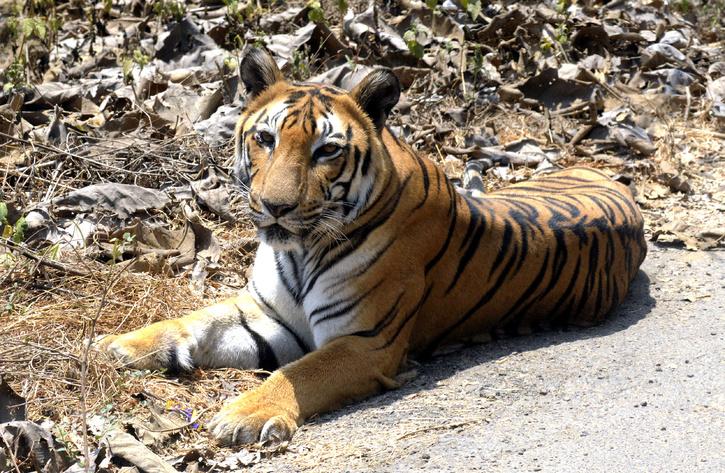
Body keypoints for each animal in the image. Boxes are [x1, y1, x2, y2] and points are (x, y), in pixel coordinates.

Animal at [100, 47, 647, 446]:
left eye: (327, 150)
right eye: (266, 139)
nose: (274, 206)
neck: (300, 250)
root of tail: (609, 176)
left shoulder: (365, 341)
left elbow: (302, 373)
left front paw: (243, 414)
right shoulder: (266, 315)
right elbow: (195, 321)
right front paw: (122, 345)